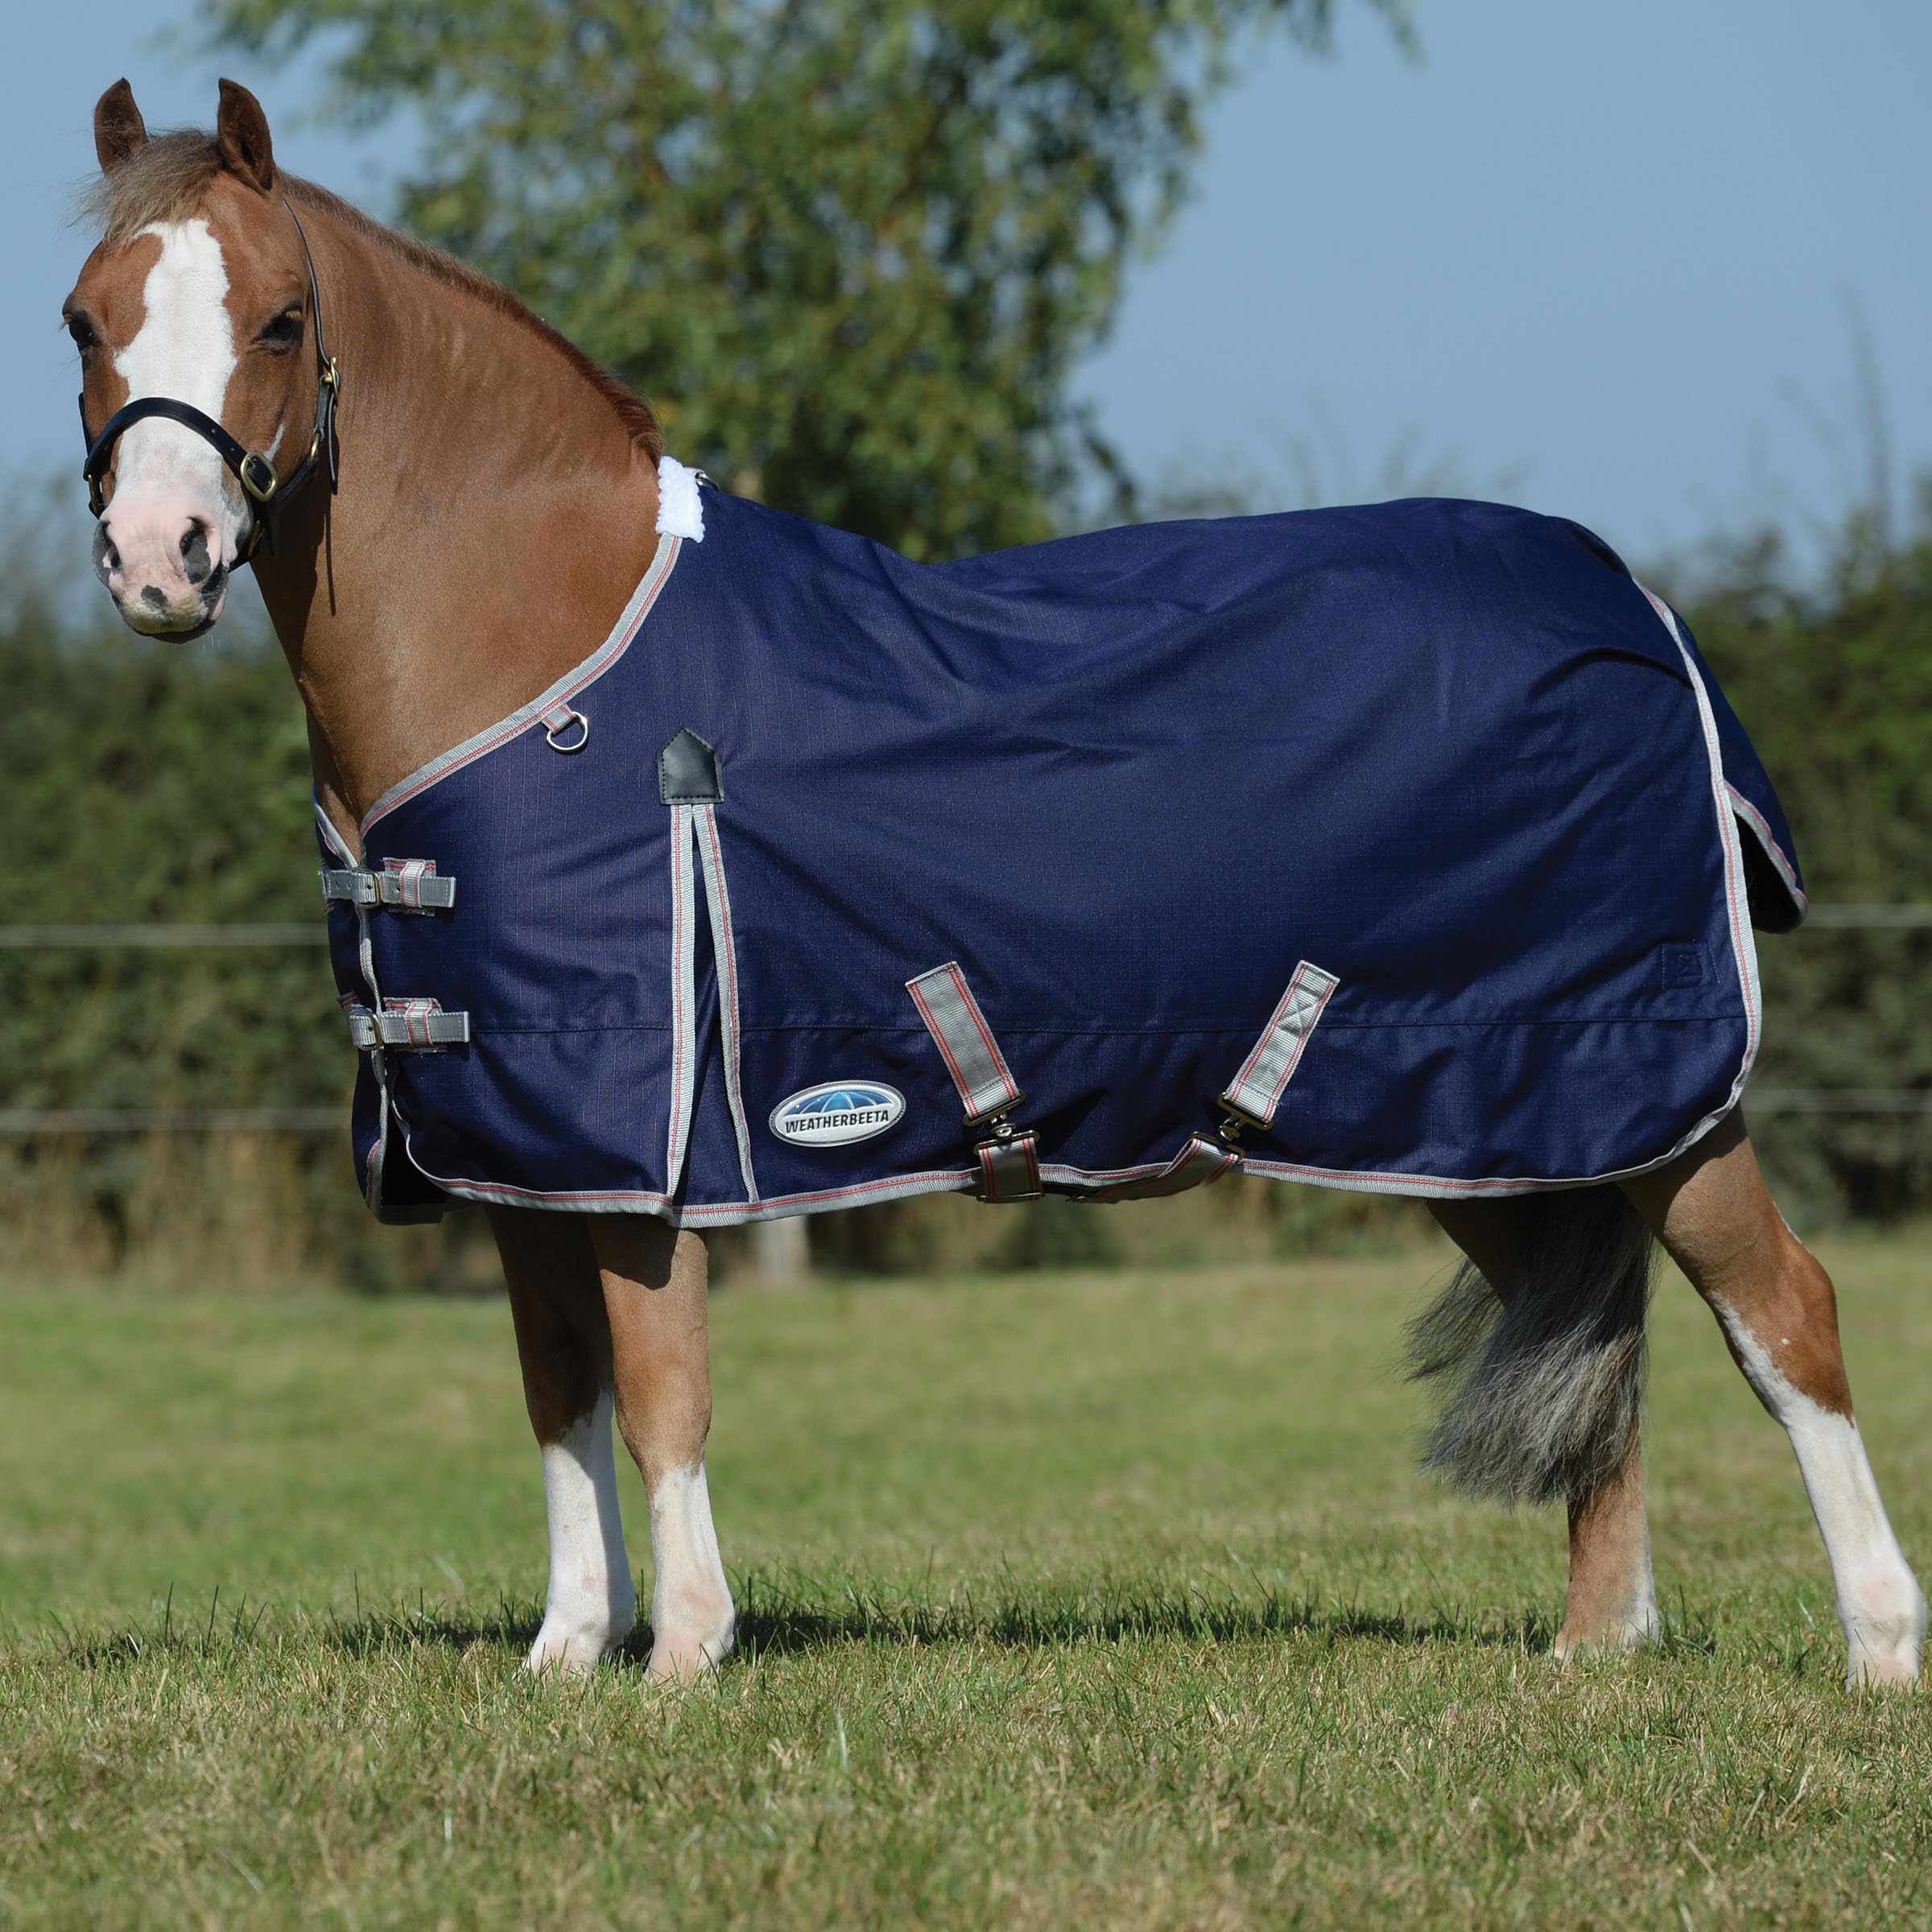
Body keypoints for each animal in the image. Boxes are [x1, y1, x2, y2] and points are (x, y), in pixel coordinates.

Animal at [61, 77, 1924, 1690]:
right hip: (1481, 1109)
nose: (159, 564)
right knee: (1596, 1339)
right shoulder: (521, 1142)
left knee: (1786, 1315)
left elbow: (661, 1390)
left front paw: (685, 1659)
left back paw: (1876, 1652)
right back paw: (1596, 1653)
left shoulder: (641, 1131)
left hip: (1642, 1087)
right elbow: (557, 1396)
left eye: (281, 321)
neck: (543, 653)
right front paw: (567, 1656)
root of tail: (1632, 601)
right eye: (85, 320)